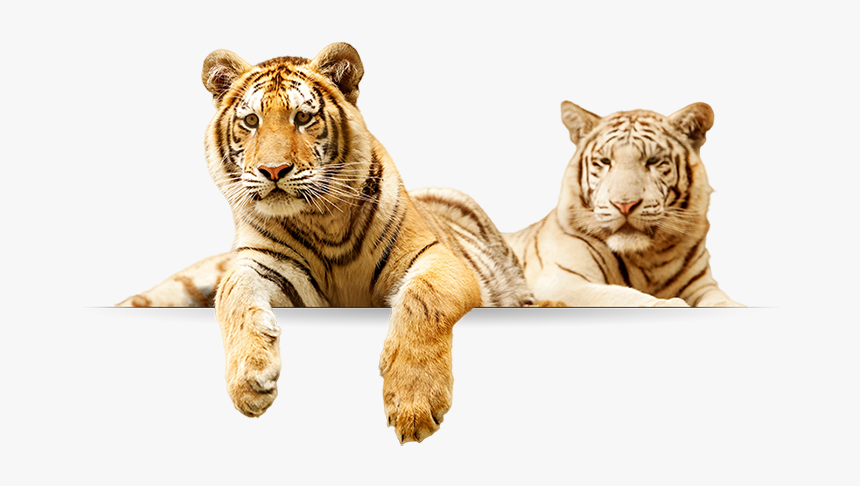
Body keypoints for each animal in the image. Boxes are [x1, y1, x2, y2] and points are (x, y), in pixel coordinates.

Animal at [117, 43, 543, 444]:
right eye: (251, 121)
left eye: (303, 118)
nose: (273, 170)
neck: (320, 220)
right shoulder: (260, 267)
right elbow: (233, 297)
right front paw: (249, 380)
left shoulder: (435, 257)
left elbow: (424, 301)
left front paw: (414, 403)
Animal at [503, 101, 744, 307]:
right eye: (605, 161)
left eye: (653, 161)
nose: (624, 205)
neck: (649, 258)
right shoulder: (564, 281)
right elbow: (625, 296)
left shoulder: (703, 285)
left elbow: (722, 301)